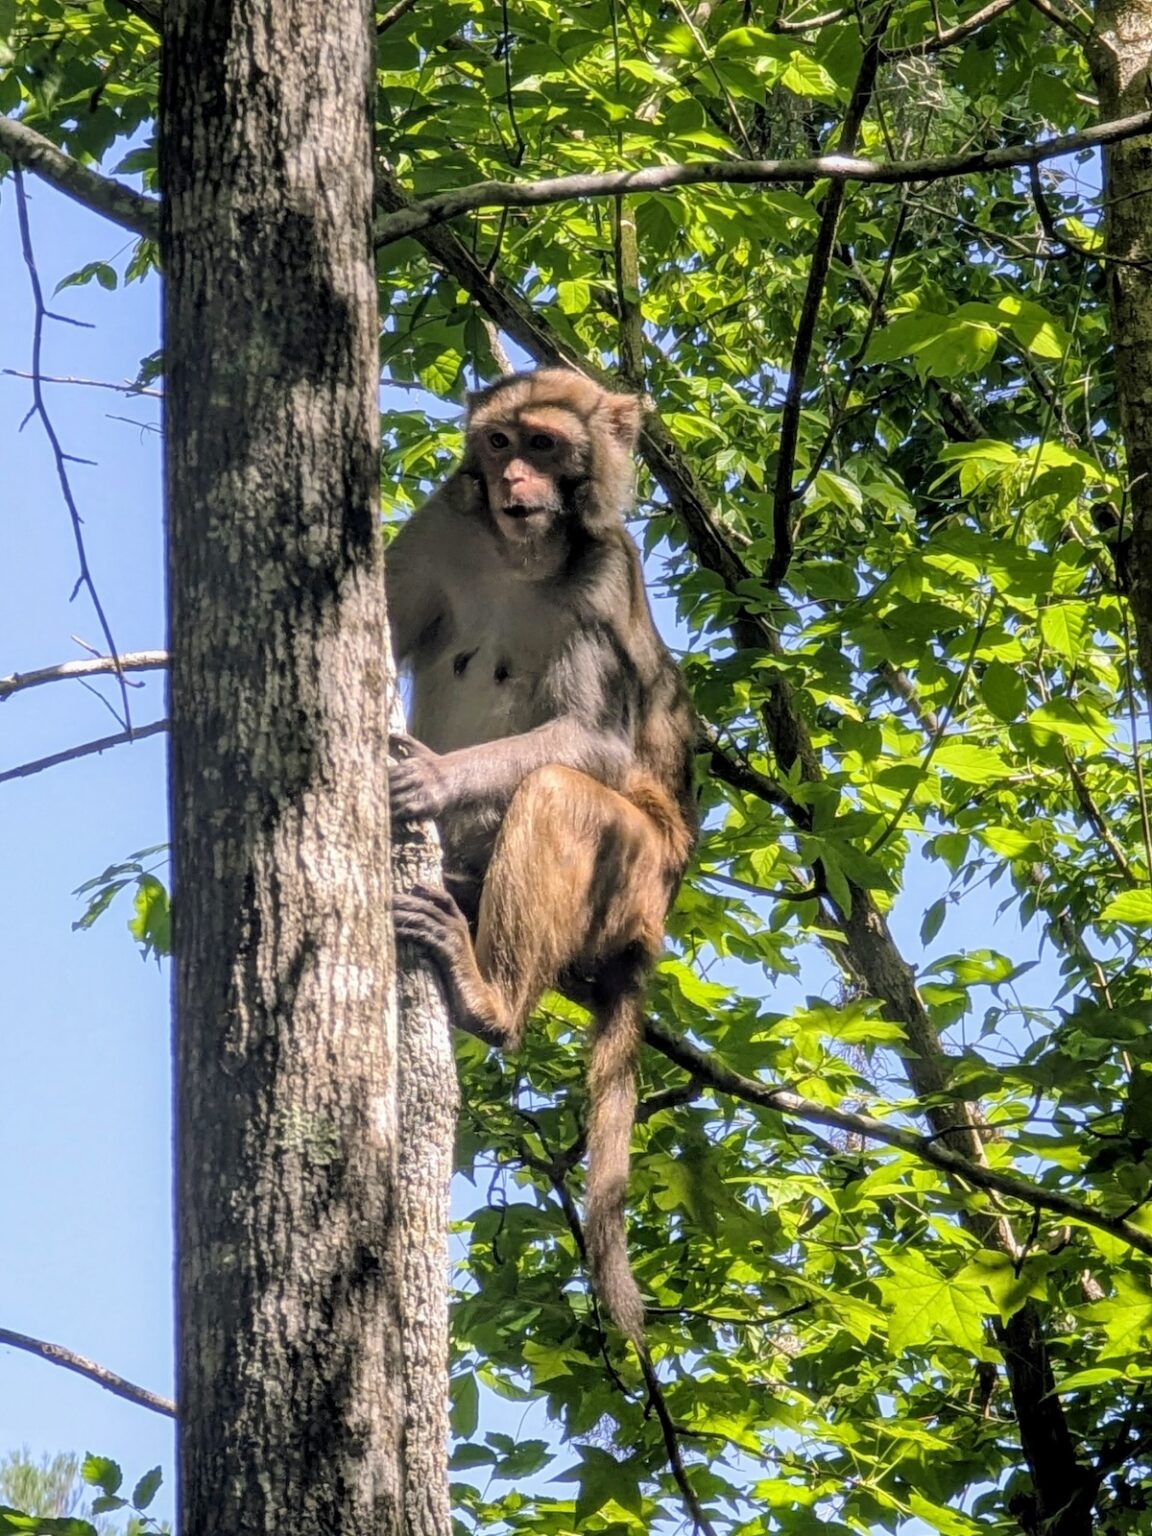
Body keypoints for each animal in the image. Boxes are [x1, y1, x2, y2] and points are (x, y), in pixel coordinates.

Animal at [386, 368, 697, 1344]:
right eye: (499, 444)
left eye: (547, 445)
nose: (517, 483)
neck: (520, 557)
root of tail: (651, 929)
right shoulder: (440, 525)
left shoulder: (605, 581)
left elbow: (594, 737)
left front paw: (435, 779)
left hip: (640, 871)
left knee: (558, 791)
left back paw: (491, 1001)